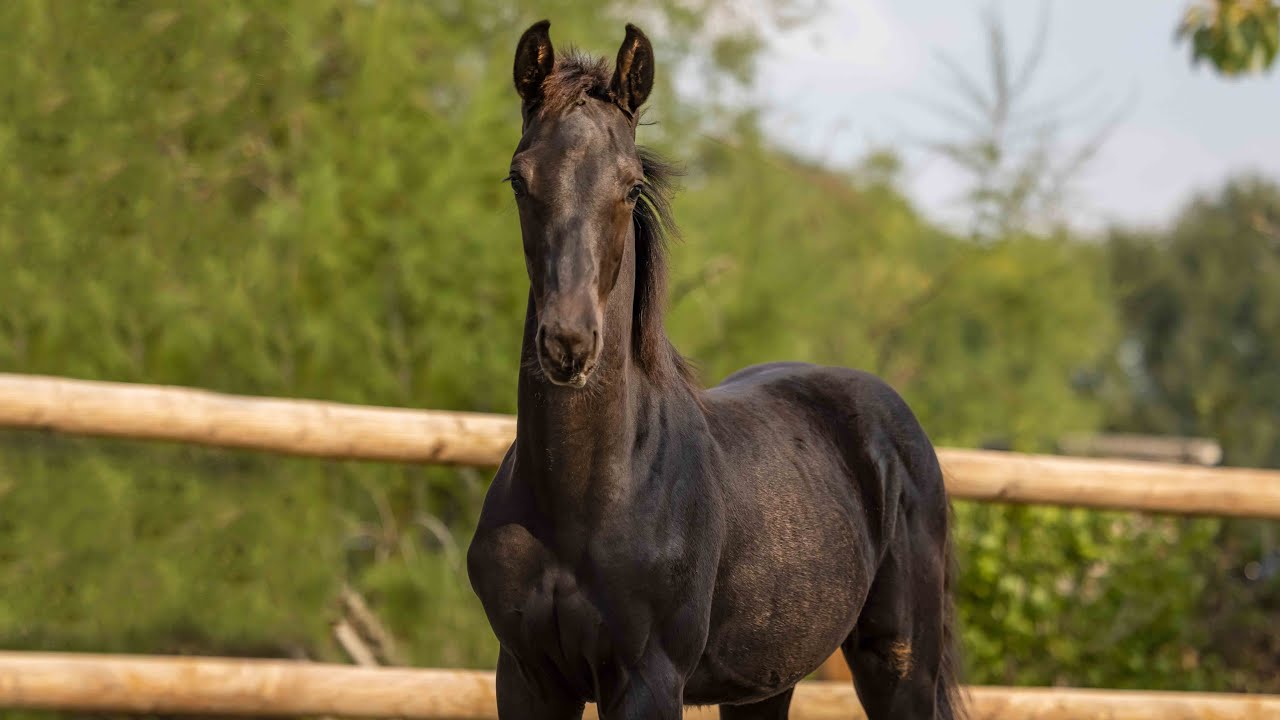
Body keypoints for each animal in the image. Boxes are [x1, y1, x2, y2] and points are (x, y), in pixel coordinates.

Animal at [467, 20, 964, 720]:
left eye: (630, 186)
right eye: (519, 179)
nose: (569, 342)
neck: (585, 496)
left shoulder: (648, 680)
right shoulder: (526, 676)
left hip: (900, 667)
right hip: (768, 682)